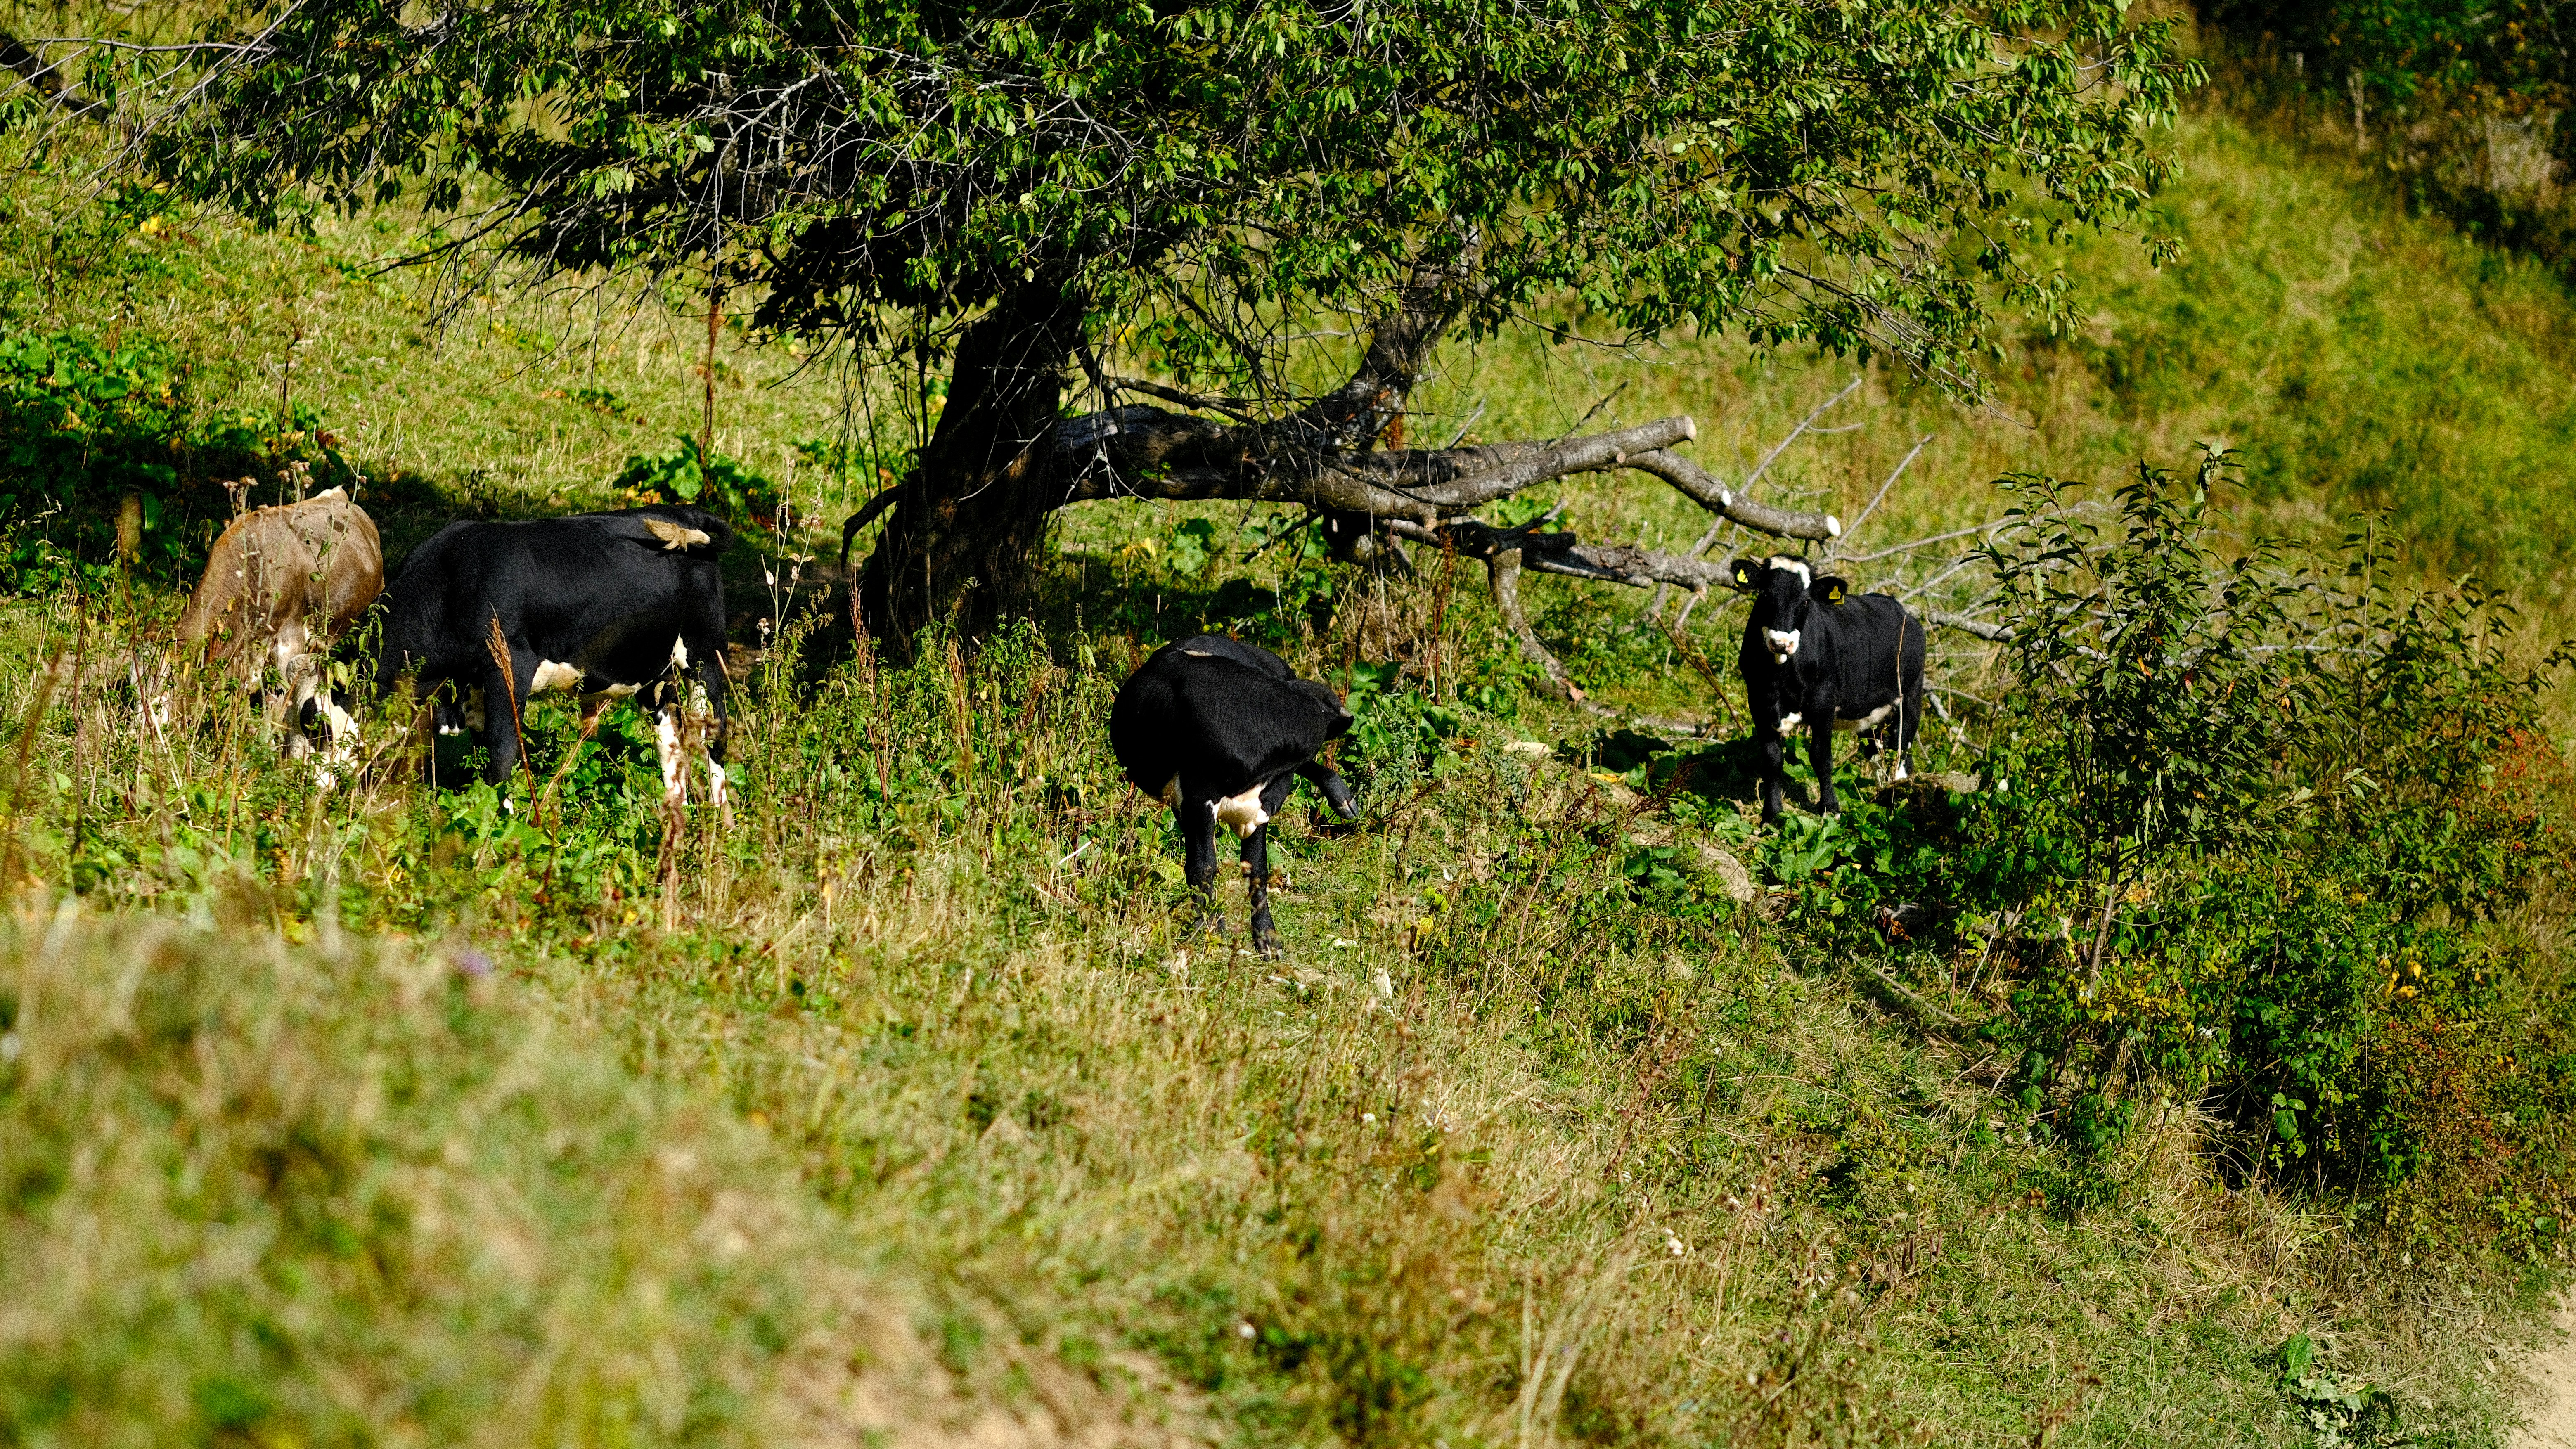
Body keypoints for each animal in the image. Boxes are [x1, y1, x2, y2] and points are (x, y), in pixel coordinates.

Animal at [375, 506, 734, 816]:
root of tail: (682, 510)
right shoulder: (474, 687)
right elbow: (483, 749)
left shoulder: (510, 668)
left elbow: (501, 749)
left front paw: (503, 823)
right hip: (654, 667)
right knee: (669, 735)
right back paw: (675, 815)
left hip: (705, 656)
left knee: (713, 733)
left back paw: (718, 819)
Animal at [1110, 635, 1359, 957]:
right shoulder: (1198, 798)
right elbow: (1203, 867)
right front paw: (1205, 928)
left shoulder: (1262, 807)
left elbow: (1257, 870)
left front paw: (1267, 937)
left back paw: (1343, 799)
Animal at [1728, 555, 1926, 823]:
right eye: (1765, 594)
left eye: (1806, 601)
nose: (1781, 643)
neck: (1779, 678)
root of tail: (1905, 613)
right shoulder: (1758, 701)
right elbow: (1772, 758)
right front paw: (1772, 813)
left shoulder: (1823, 703)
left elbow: (1821, 757)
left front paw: (1830, 808)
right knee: (1877, 750)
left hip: (1911, 698)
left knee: (1900, 747)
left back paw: (1896, 795)